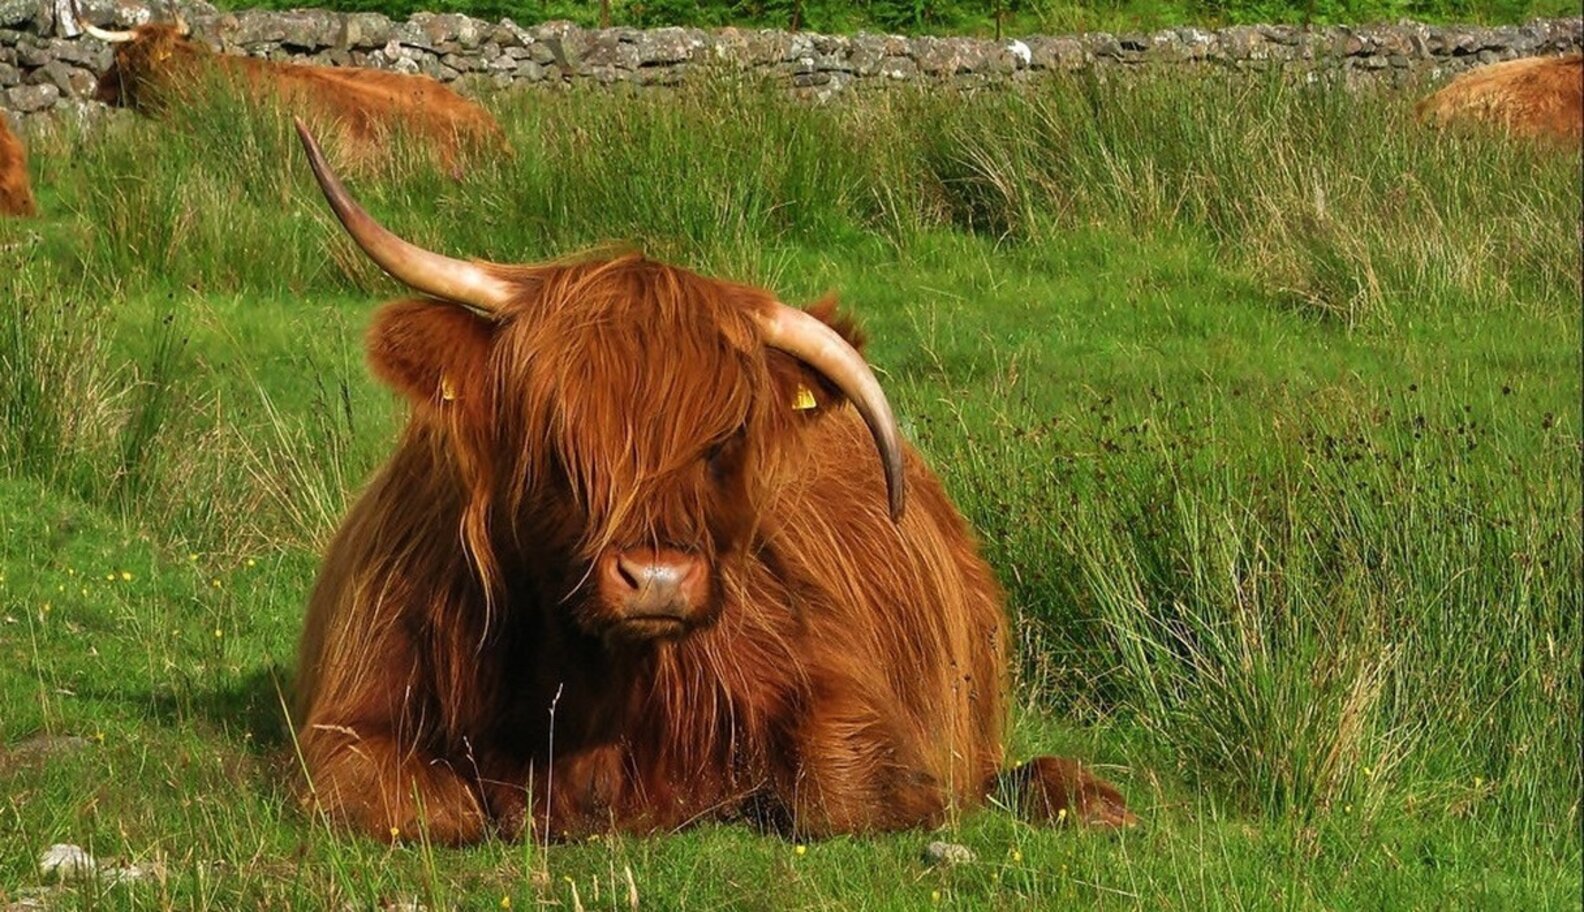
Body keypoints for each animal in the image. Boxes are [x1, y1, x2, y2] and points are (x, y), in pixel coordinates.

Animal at [288, 119, 1136, 845]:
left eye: (723, 441)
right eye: (554, 437)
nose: (658, 577)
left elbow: (845, 788)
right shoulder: (350, 713)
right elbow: (428, 807)